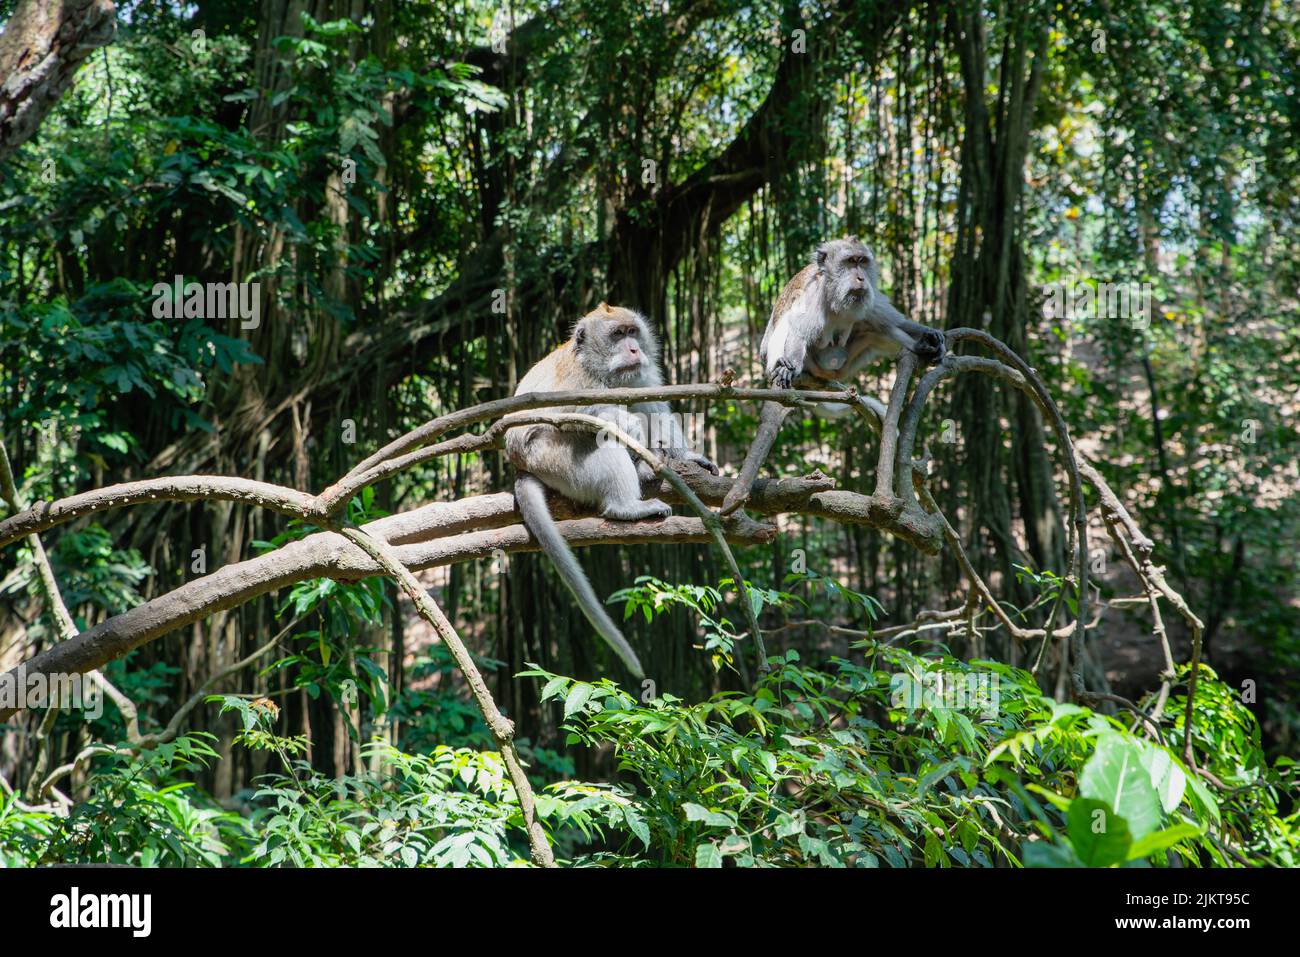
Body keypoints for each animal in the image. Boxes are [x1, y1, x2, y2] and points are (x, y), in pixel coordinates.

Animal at [506, 303, 718, 678]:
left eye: (633, 332)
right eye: (617, 335)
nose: (633, 349)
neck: (599, 370)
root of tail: (522, 468)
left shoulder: (640, 376)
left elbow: (652, 405)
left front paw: (687, 456)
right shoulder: (577, 386)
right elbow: (577, 415)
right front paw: (619, 421)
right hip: (550, 460)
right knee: (600, 442)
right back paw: (626, 506)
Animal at [721, 239, 946, 514]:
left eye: (862, 261)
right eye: (850, 262)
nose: (860, 278)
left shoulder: (870, 298)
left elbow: (896, 322)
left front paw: (929, 334)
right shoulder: (814, 297)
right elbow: (798, 330)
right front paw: (789, 364)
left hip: (848, 362)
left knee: (879, 327)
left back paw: (920, 347)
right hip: (812, 362)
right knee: (789, 325)